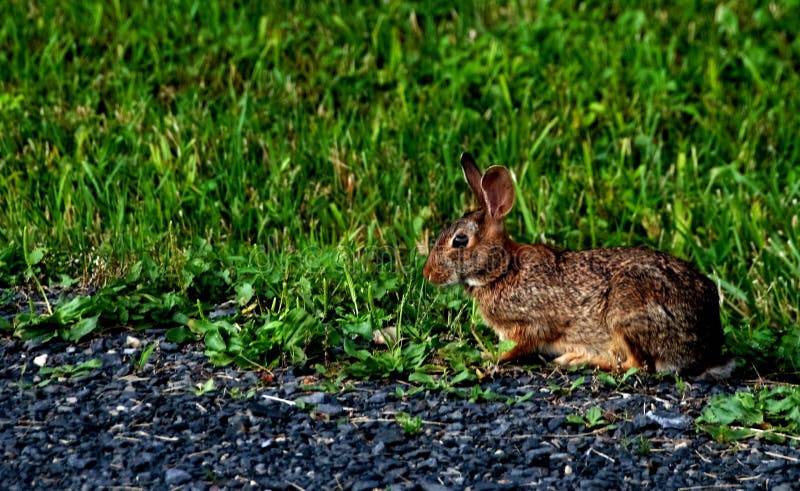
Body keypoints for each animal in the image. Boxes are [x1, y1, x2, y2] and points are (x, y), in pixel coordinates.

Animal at [423, 152, 733, 379]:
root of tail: (706, 343)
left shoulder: (530, 323)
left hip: (625, 313)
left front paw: (490, 356)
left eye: (460, 240)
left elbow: (520, 347)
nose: (428, 274)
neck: (503, 270)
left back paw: (579, 360)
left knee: (638, 365)